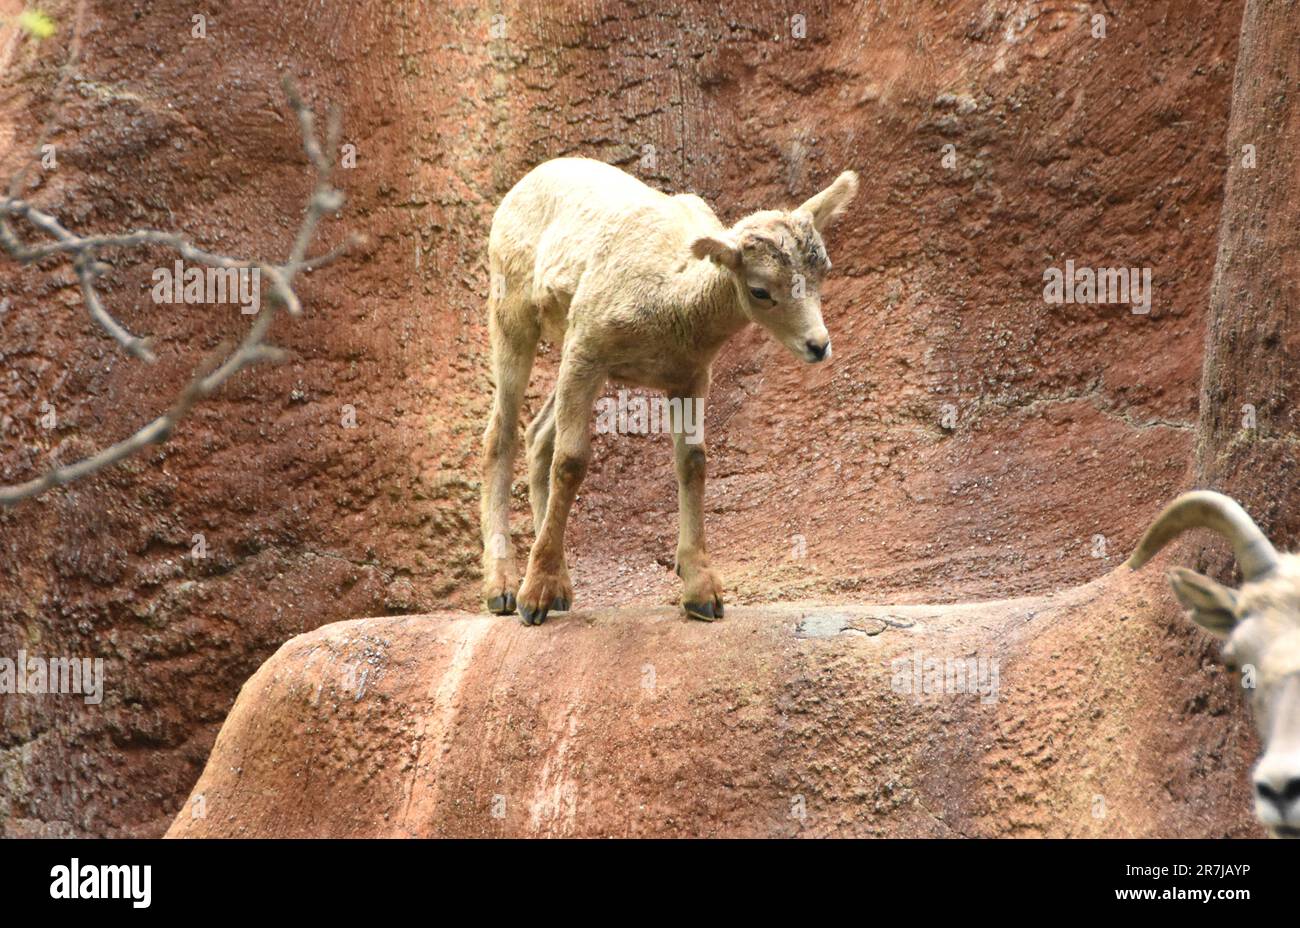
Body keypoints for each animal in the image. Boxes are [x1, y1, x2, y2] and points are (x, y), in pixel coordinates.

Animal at [480, 158, 858, 625]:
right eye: (759, 290)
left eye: (823, 271)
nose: (818, 345)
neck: (673, 301)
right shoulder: (587, 350)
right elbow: (571, 463)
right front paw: (534, 599)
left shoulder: (688, 377)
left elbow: (693, 463)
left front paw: (702, 593)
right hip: (512, 316)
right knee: (502, 435)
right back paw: (503, 589)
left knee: (537, 435)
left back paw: (562, 590)